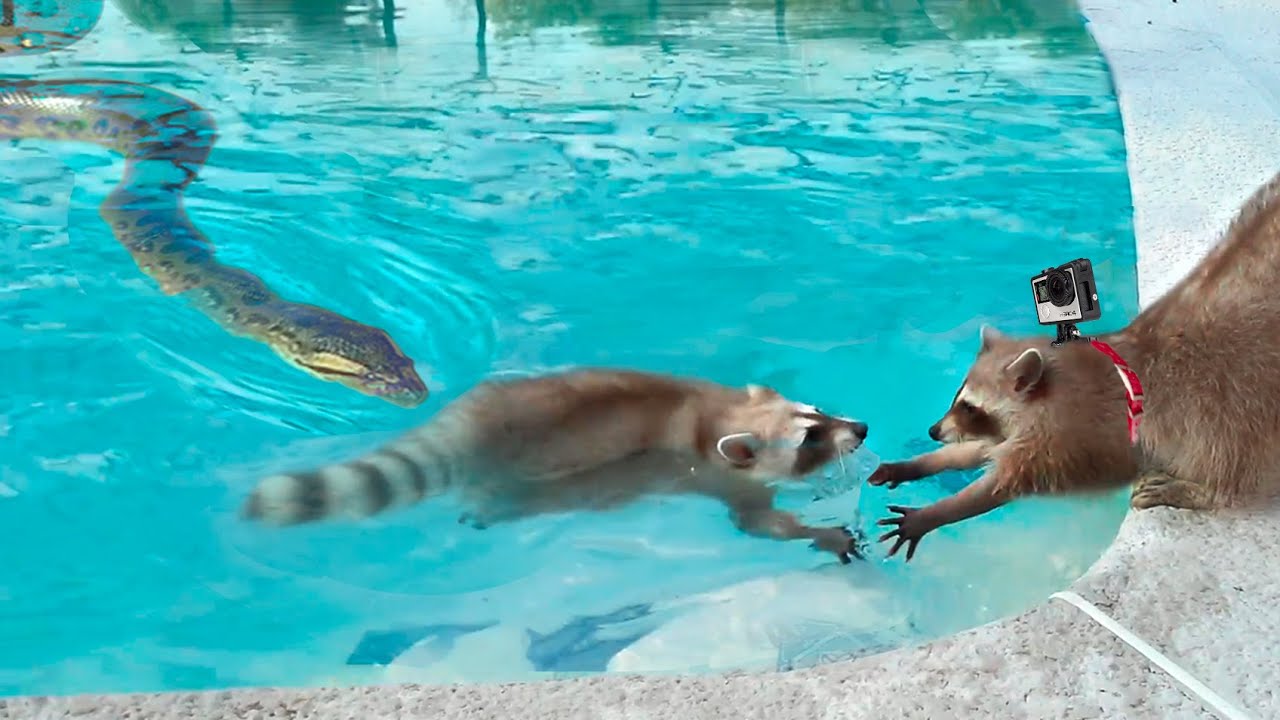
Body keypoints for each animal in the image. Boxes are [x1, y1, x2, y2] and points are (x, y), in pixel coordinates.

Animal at [242, 368, 870, 563]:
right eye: (812, 438)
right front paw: (816, 532)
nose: (862, 430)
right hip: (531, 475)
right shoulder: (718, 475)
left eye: (816, 411)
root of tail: (472, 417)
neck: (725, 412)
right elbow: (757, 523)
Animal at [869, 168, 1280, 561]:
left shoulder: (1072, 431)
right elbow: (979, 448)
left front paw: (934, 513)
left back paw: (1202, 490)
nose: (933, 430)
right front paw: (917, 463)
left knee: (1229, 455)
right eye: (958, 396)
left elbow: (1003, 482)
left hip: (1234, 397)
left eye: (971, 407)